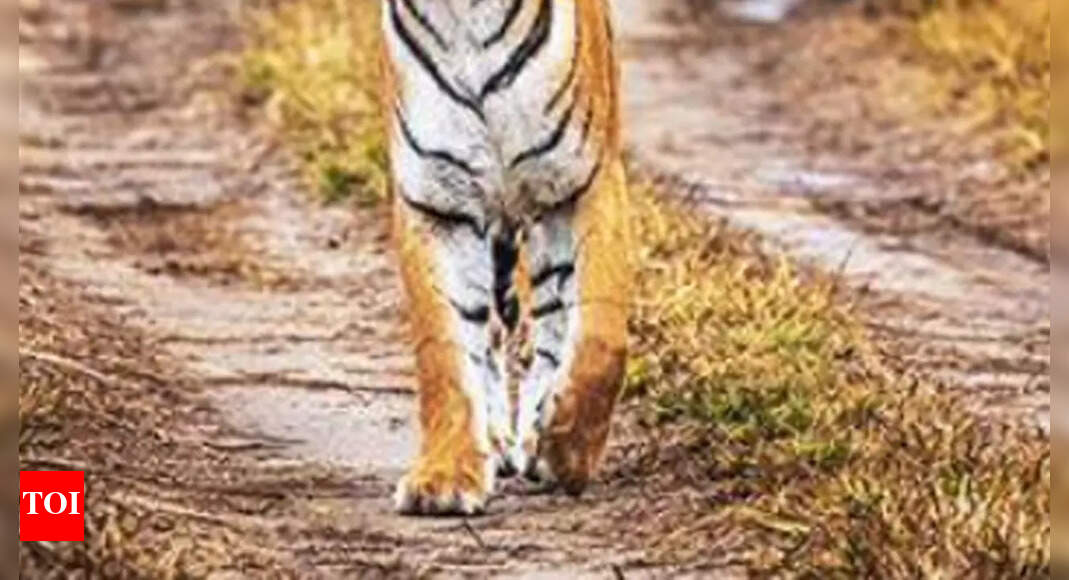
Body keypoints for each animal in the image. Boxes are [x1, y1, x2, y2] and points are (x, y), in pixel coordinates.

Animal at [381, 0, 630, 515]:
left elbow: (601, 339)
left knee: (555, 327)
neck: (464, 17)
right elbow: (444, 352)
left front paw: (567, 452)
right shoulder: (438, 205)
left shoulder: (585, 184)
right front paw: (445, 476)